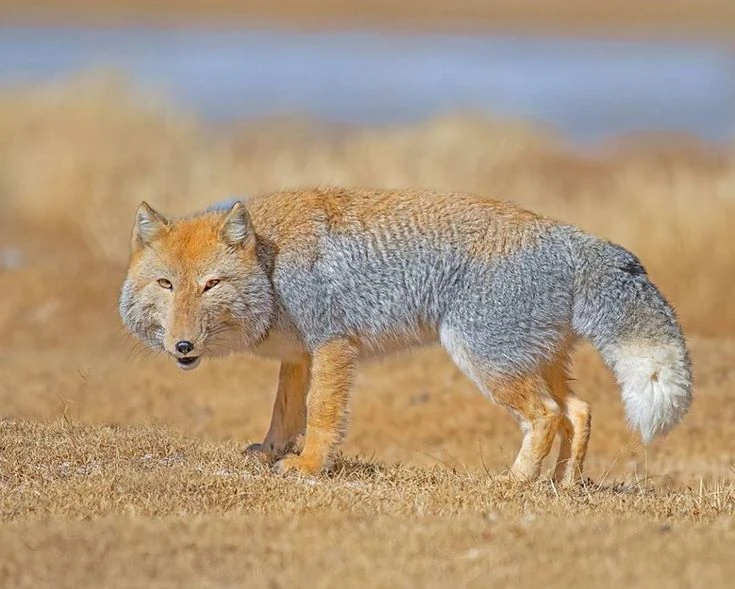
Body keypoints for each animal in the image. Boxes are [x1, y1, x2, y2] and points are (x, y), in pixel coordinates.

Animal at [118, 187, 692, 485]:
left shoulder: (332, 345)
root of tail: (572, 237)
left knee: (549, 415)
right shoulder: (299, 355)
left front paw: (309, 466)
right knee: (580, 410)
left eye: (211, 285)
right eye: (166, 285)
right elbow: (284, 413)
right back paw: (561, 484)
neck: (270, 264)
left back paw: (514, 482)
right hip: (532, 361)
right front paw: (270, 453)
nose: (182, 346)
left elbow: (321, 416)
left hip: (485, 360)